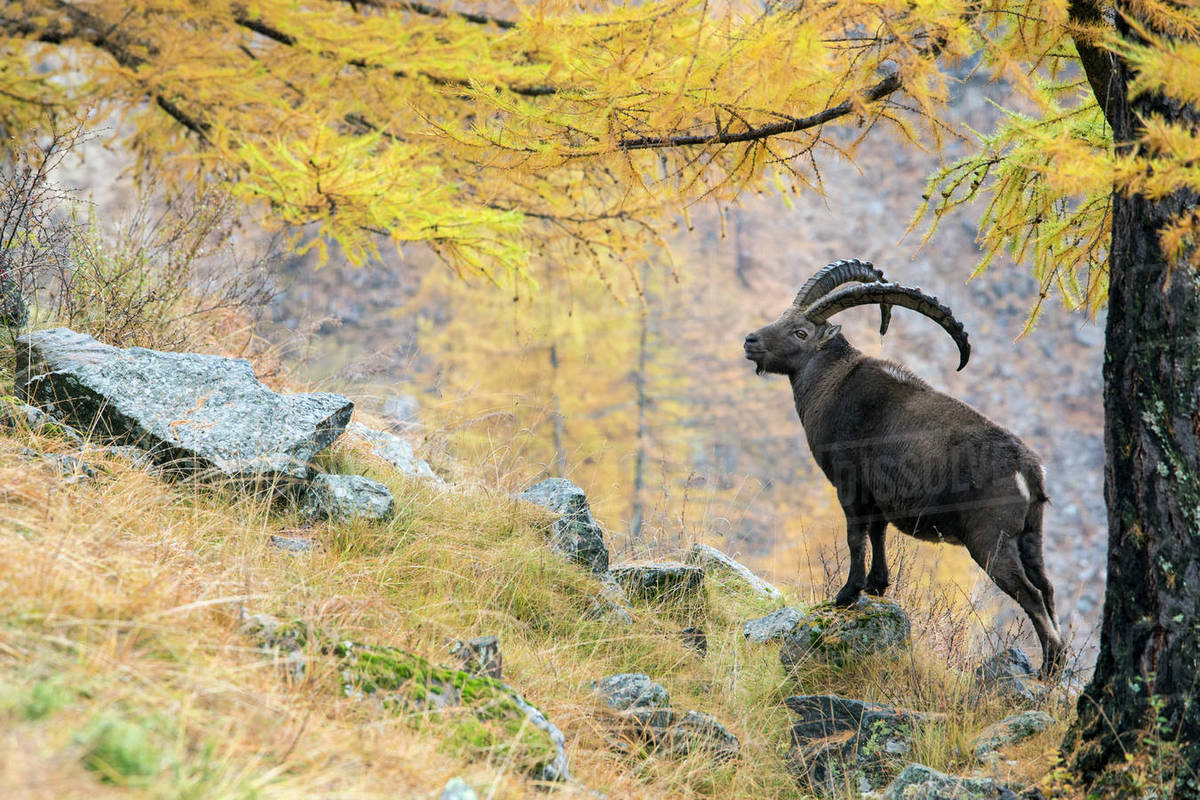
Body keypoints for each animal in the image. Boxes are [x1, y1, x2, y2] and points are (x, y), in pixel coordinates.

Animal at [743, 259, 1063, 675]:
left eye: (801, 332)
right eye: (784, 317)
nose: (750, 341)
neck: (833, 382)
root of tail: (1028, 470)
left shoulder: (850, 485)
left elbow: (856, 538)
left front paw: (847, 594)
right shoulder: (878, 496)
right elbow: (878, 534)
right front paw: (877, 585)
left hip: (990, 540)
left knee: (1031, 595)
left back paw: (1048, 670)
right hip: (1030, 535)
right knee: (1048, 587)